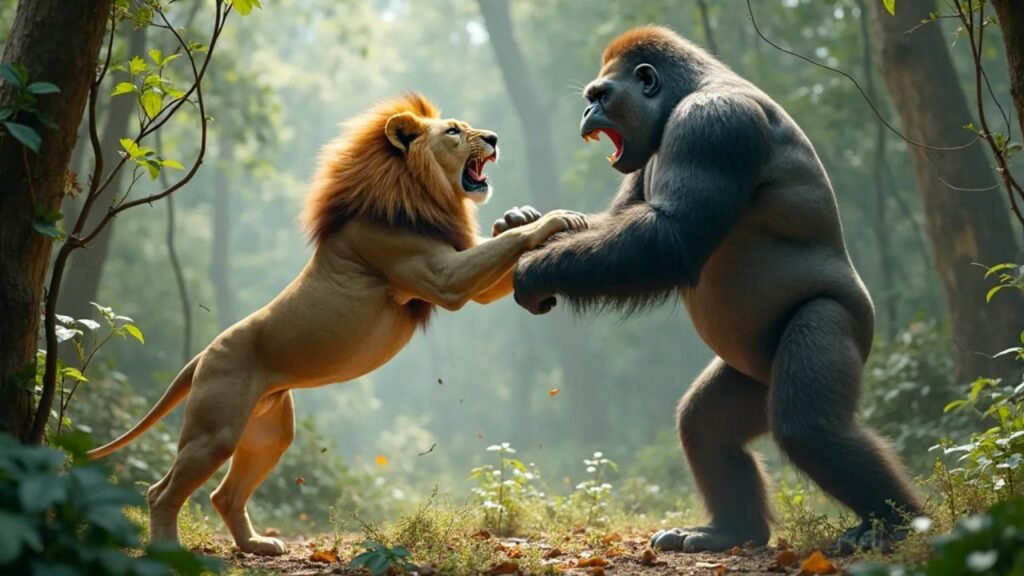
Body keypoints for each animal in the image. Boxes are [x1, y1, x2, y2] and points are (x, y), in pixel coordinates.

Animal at [87, 94, 587, 555]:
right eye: (453, 131)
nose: (495, 138)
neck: (420, 189)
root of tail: (204, 353)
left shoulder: (457, 277)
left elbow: (503, 249)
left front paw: (519, 215)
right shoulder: (439, 275)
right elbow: (510, 243)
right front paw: (555, 217)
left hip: (269, 435)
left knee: (224, 495)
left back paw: (256, 545)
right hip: (216, 431)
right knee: (162, 492)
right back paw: (167, 549)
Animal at [512, 27, 921, 553]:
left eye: (600, 96)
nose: (586, 114)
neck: (689, 90)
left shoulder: (714, 122)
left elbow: (670, 237)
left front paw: (537, 268)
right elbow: (615, 223)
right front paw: (523, 225)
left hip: (840, 320)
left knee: (809, 429)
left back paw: (893, 523)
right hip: (754, 374)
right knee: (705, 426)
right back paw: (732, 529)